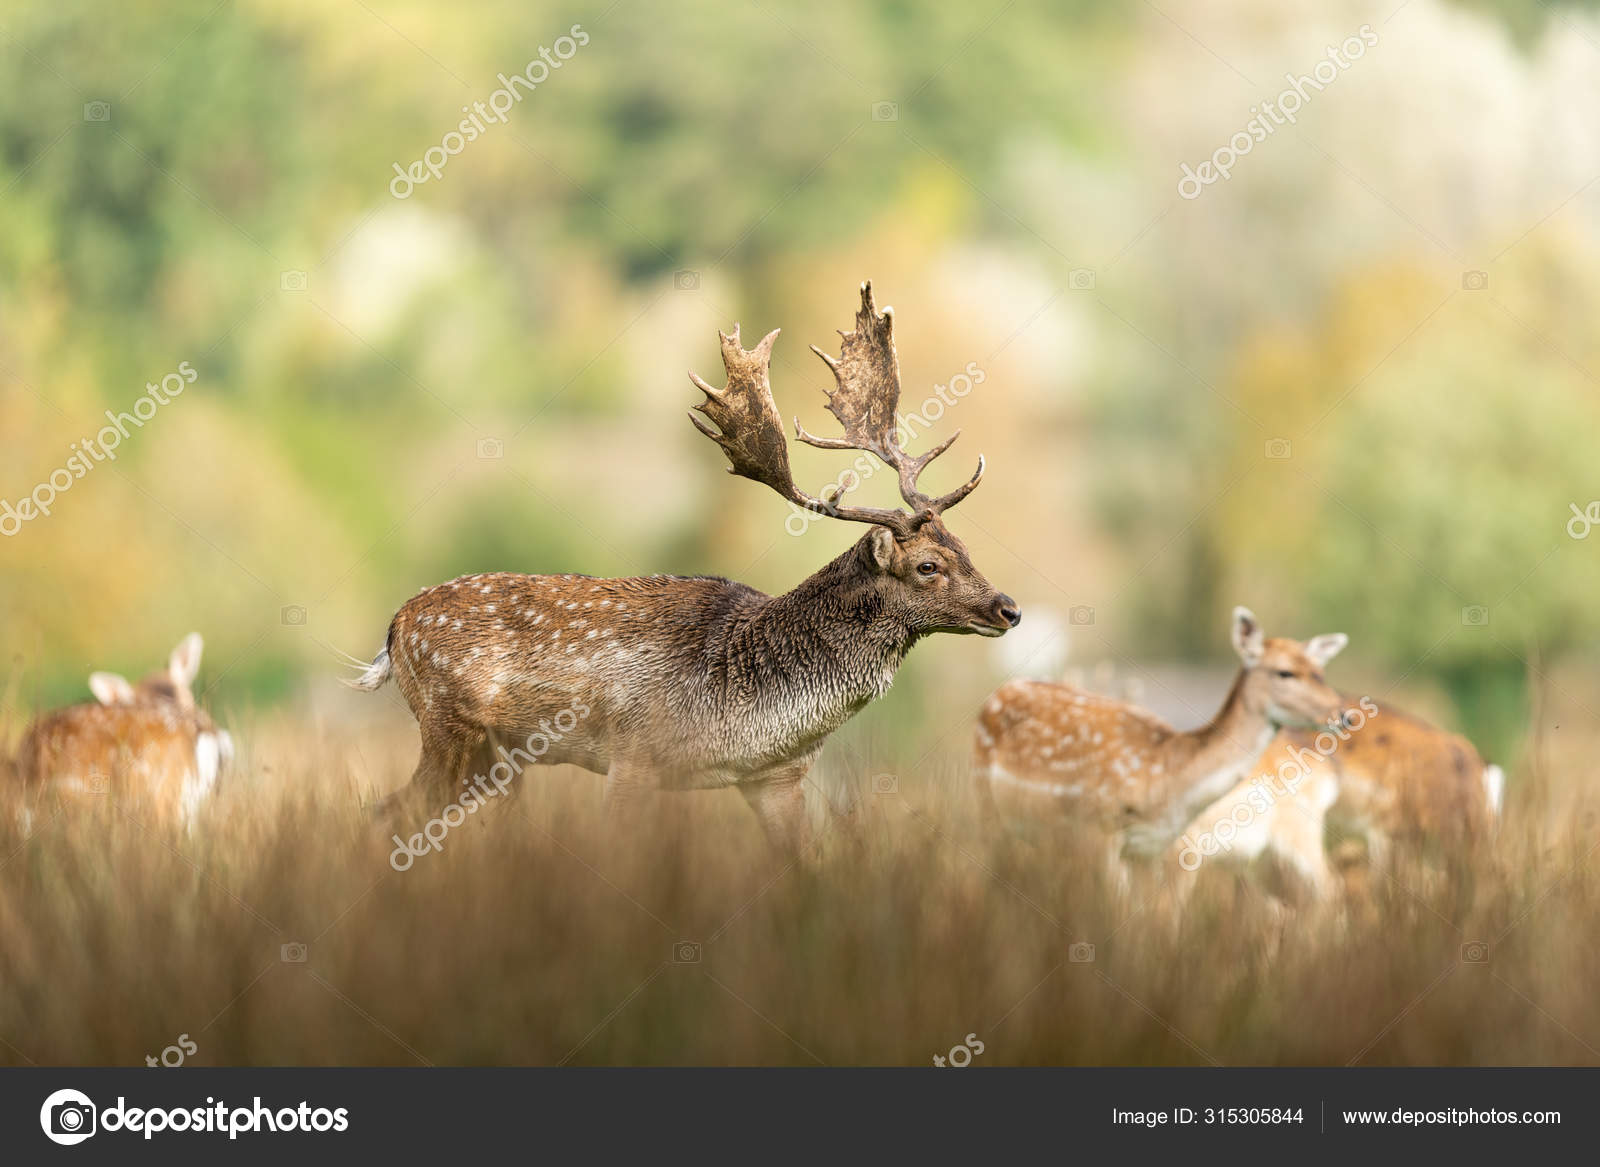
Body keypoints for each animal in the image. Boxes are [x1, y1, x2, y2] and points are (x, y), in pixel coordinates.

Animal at [351, 282, 1021, 853]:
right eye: (929, 565)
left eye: (965, 546)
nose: (1008, 608)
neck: (751, 706)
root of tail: (395, 628)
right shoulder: (635, 756)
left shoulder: (776, 777)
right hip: (450, 725)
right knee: (390, 813)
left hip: (492, 756)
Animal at [972, 607, 1348, 887]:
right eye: (1285, 672)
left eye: (1321, 672)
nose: (1343, 713)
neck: (1166, 777)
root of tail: (994, 696)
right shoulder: (1100, 831)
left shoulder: (1152, 850)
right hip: (985, 802)